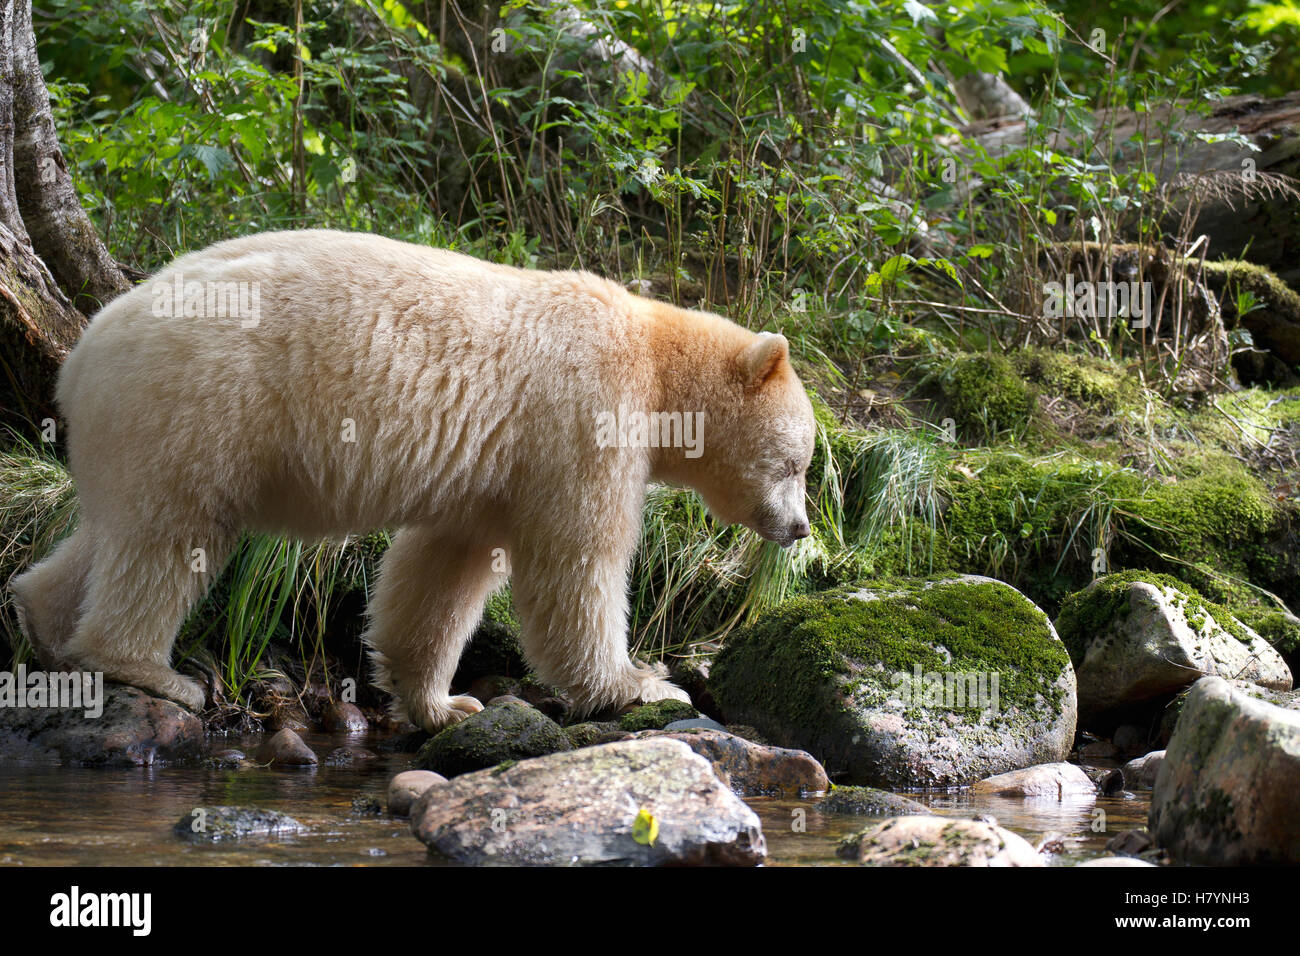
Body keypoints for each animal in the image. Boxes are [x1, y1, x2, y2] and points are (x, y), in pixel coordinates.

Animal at [10, 229, 815, 732]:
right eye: (797, 463)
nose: (801, 527)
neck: (654, 353)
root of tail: (79, 356)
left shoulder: (493, 469)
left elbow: (445, 569)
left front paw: (443, 703)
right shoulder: (585, 415)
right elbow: (576, 560)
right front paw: (642, 682)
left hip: (138, 430)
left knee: (113, 529)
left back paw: (44, 624)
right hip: (200, 402)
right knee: (172, 538)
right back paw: (149, 669)